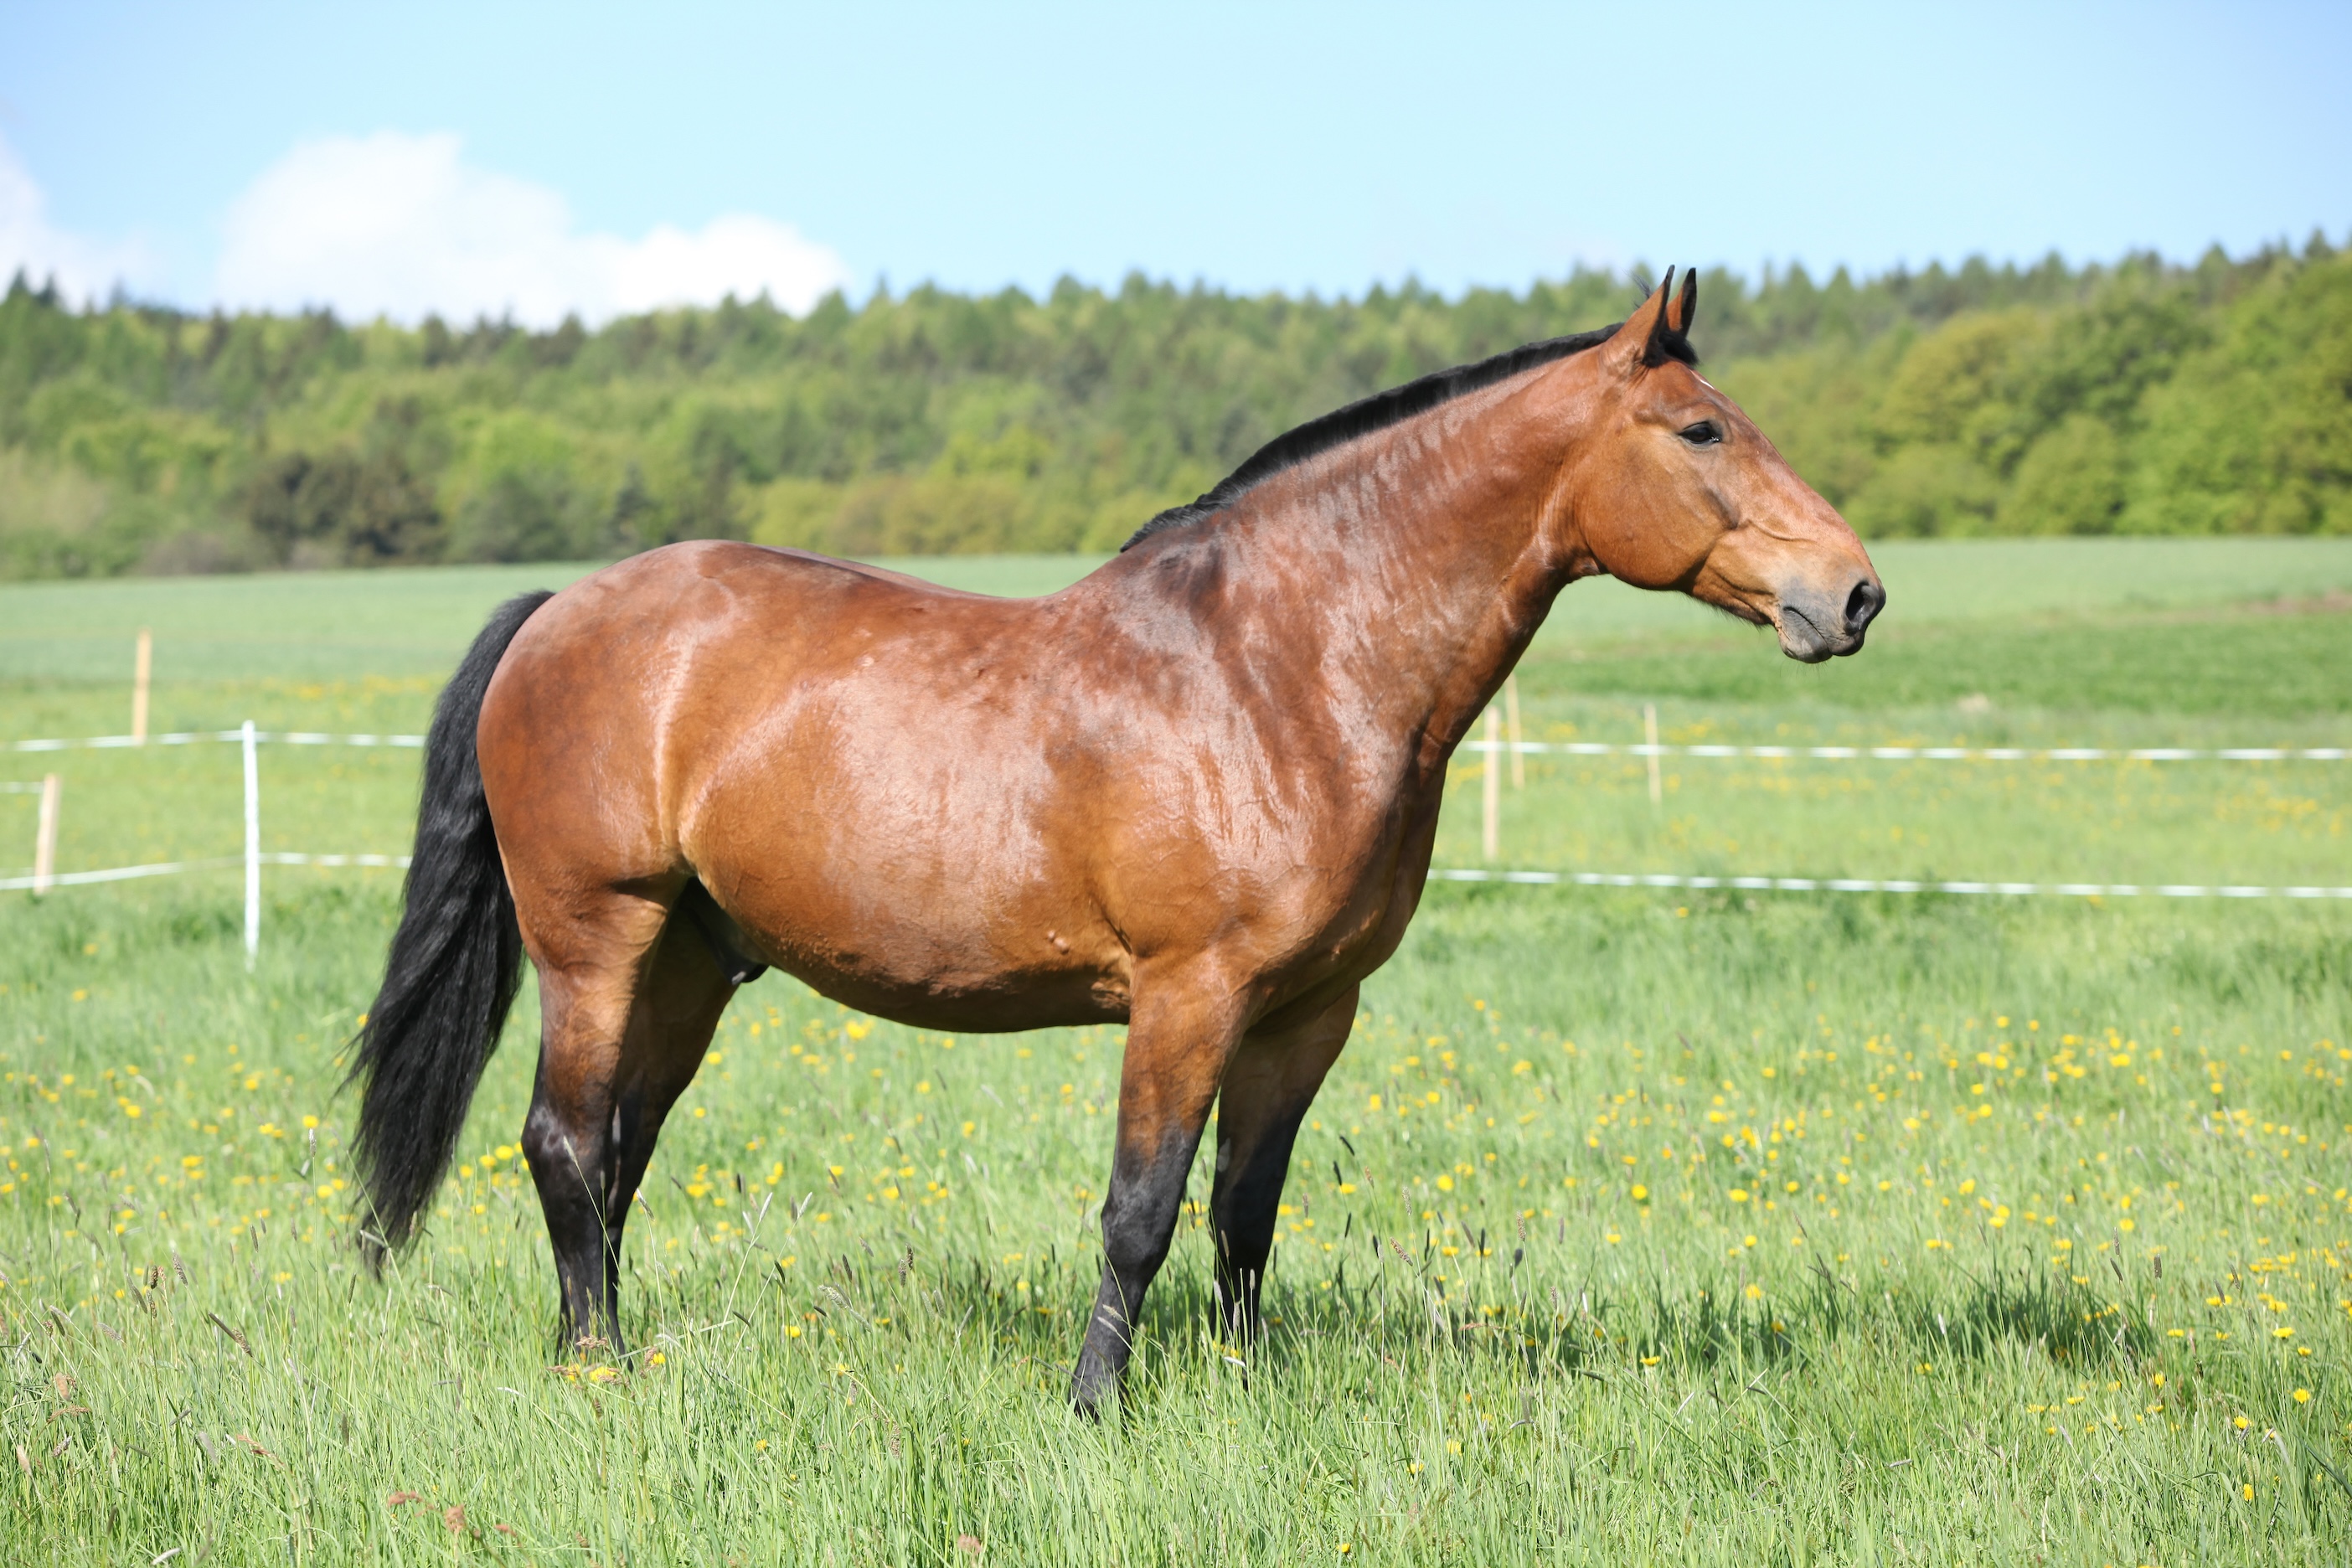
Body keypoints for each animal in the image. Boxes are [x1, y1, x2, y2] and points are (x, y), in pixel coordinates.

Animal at [349, 271, 1883, 1415]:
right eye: (1699, 432)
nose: (1855, 594)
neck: (1277, 670)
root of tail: (561, 611)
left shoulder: (1307, 1012)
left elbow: (1245, 1214)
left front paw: (1244, 1390)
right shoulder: (1185, 995)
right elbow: (1139, 1211)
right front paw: (1095, 1408)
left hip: (686, 962)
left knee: (618, 1156)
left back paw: (619, 1343)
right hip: (595, 940)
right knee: (562, 1142)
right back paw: (594, 1367)